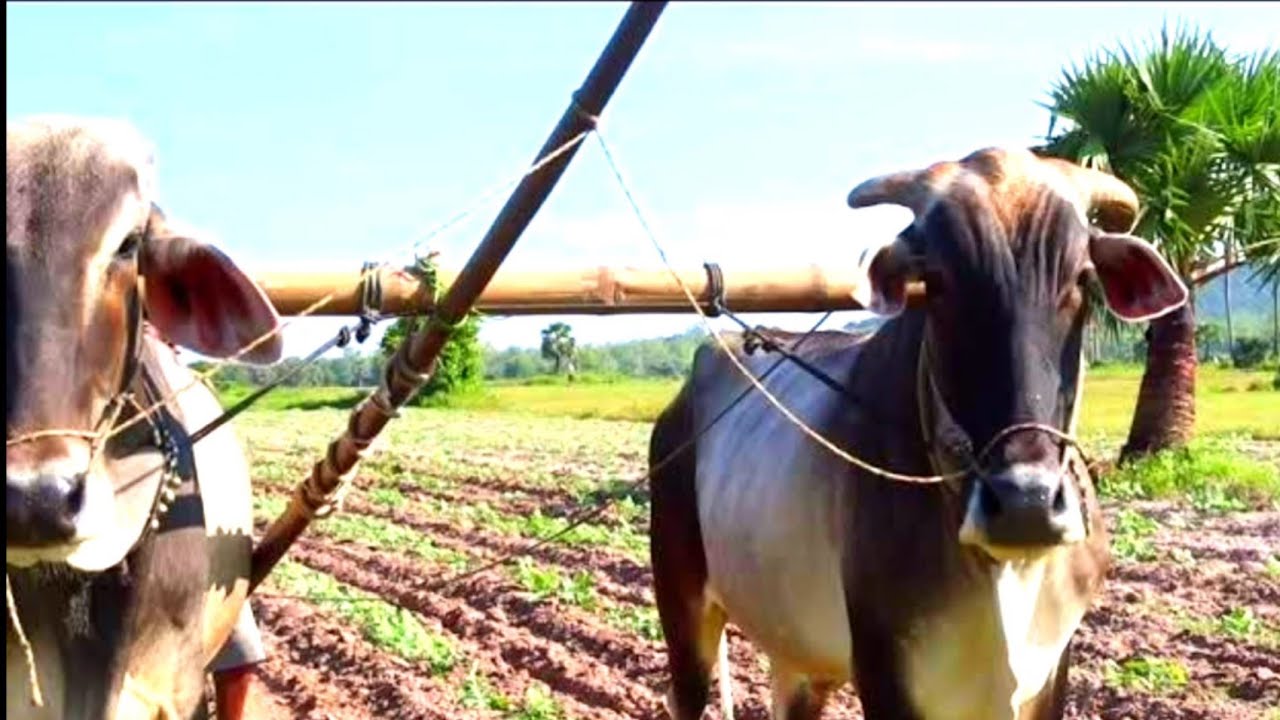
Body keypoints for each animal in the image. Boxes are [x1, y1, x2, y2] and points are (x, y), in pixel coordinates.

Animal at [648, 147, 1189, 720]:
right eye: (939, 281)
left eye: (1083, 279)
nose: (1027, 504)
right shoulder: (887, 671)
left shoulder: (1048, 674)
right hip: (683, 611)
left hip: (798, 653)